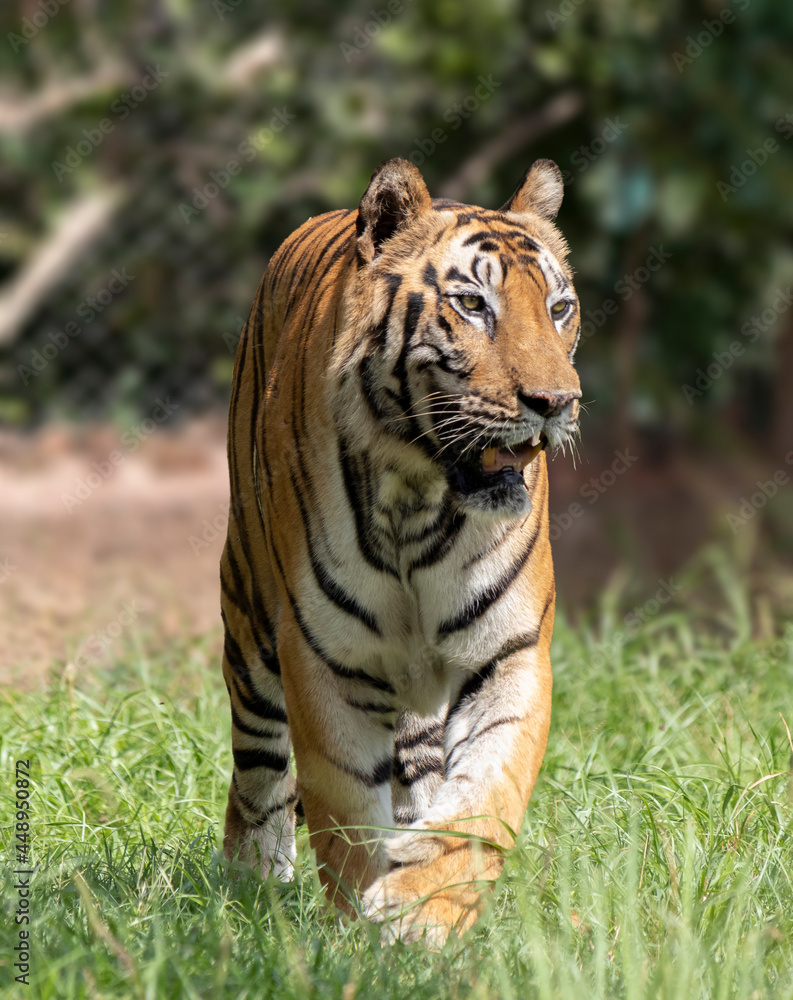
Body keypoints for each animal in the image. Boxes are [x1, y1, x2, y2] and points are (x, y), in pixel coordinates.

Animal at [219, 156, 581, 945]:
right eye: (473, 305)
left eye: (559, 308)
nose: (556, 403)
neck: (421, 491)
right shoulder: (325, 658)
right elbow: (347, 810)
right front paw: (358, 934)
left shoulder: (509, 653)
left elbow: (483, 798)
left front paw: (423, 910)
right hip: (249, 624)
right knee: (257, 772)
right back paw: (249, 879)